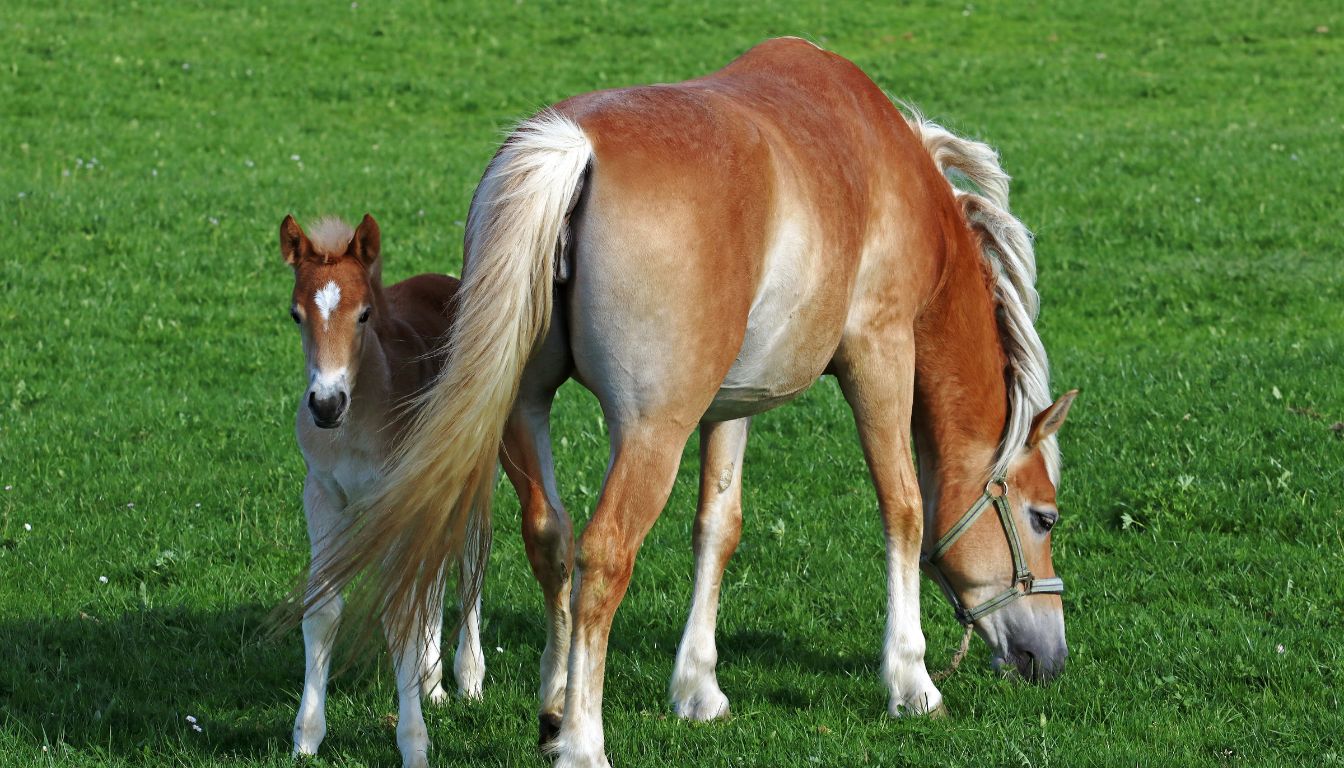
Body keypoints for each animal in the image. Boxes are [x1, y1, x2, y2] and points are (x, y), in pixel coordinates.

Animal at [279, 214, 485, 768]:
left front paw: (413, 744)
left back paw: (469, 677)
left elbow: (397, 616)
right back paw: (433, 681)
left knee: (468, 559)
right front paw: (306, 737)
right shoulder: (322, 494)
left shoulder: (400, 489)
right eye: (296, 315)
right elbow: (322, 609)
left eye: (365, 314)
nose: (326, 404)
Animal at [303, 37, 1077, 768]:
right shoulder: (880, 355)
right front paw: (912, 680)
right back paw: (583, 741)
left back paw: (554, 711)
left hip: (526, 411)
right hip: (651, 433)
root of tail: (573, 147)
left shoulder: (729, 405)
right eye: (1044, 517)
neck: (890, 168)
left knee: (551, 537)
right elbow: (905, 508)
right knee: (603, 554)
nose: (1051, 658)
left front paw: (698, 687)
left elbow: (717, 528)